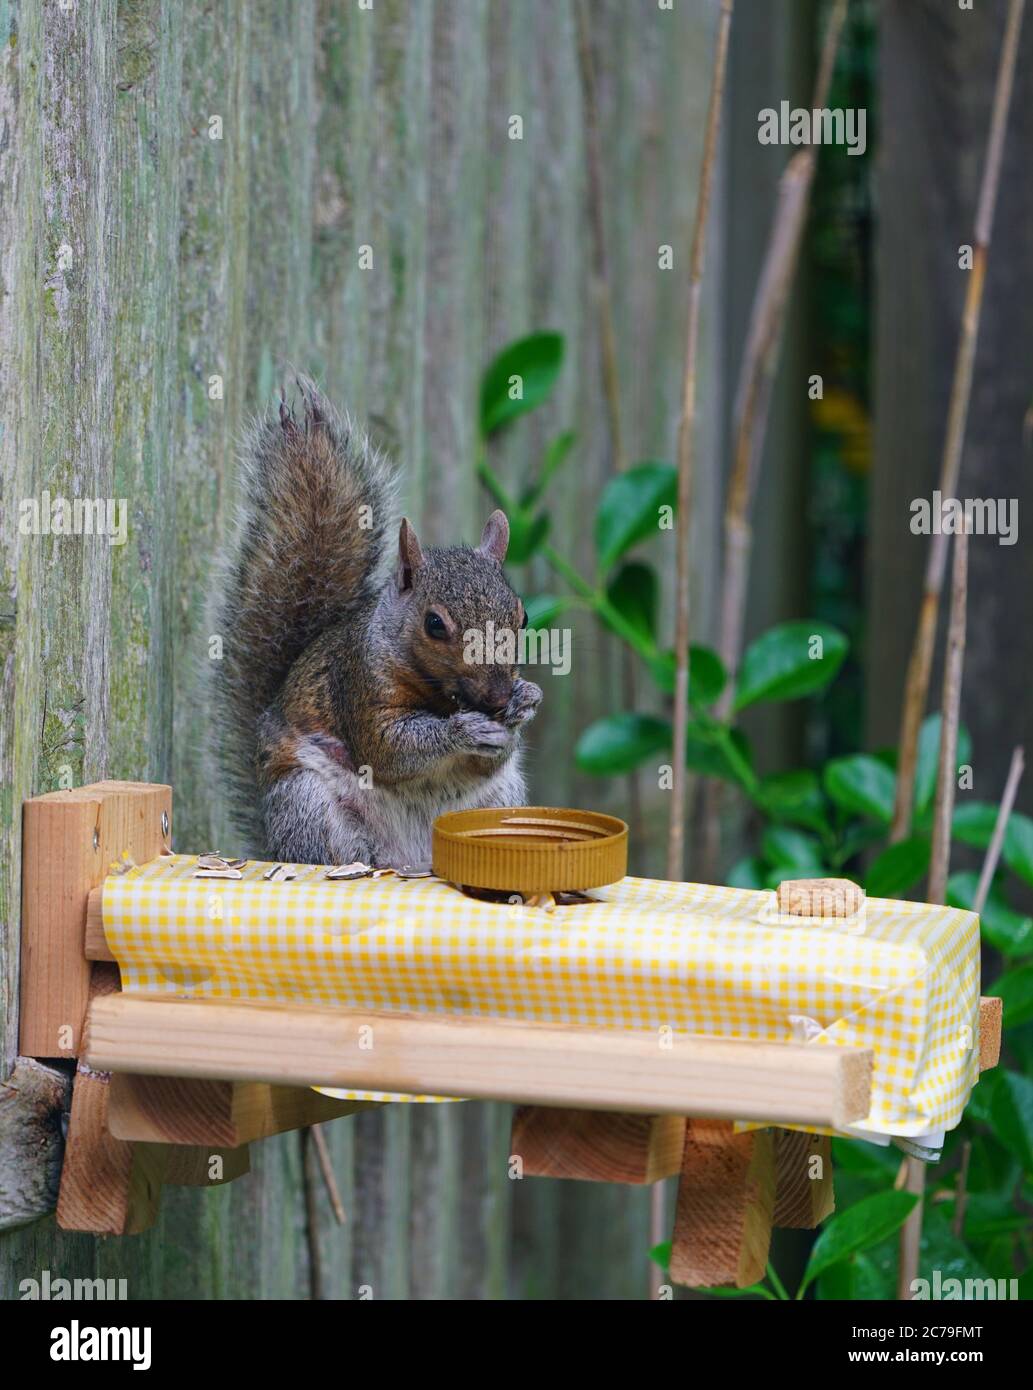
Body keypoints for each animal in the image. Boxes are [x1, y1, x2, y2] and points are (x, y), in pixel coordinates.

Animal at [211, 381, 542, 868]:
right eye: (434, 624)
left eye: (523, 616)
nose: (500, 697)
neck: (442, 695)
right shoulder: (359, 683)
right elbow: (389, 749)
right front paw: (464, 729)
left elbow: (491, 760)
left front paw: (525, 699)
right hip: (308, 804)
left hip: (502, 802)